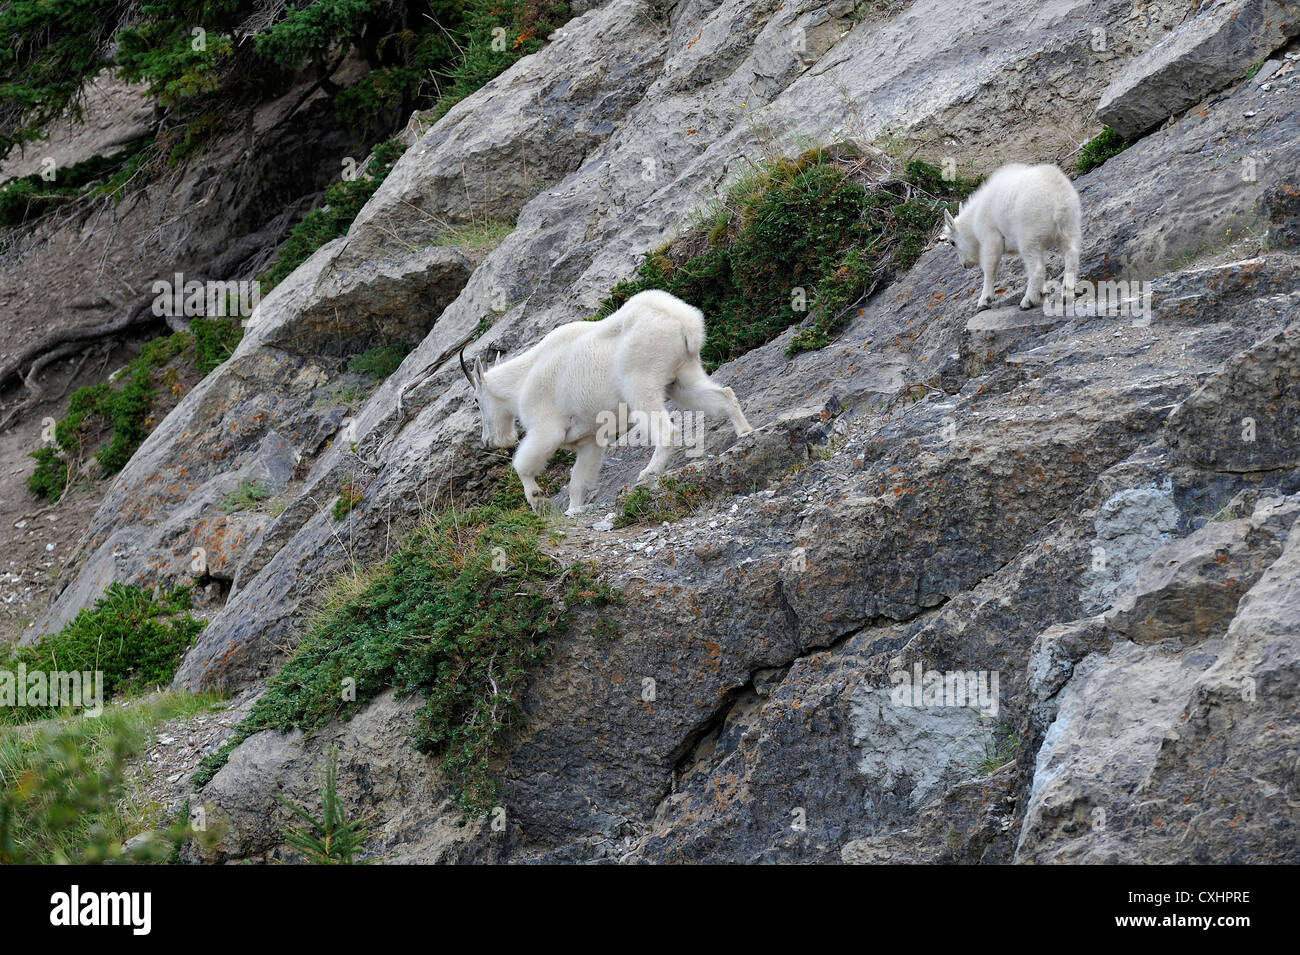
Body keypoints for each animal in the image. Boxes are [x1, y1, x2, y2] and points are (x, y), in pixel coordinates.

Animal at [461, 290, 753, 514]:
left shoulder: (547, 428)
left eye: (476, 400)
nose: (488, 441)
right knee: (723, 394)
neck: (522, 380)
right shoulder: (589, 440)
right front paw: (573, 510)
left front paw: (536, 500)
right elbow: (578, 482)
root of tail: (685, 322)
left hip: (640, 381)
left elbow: (523, 465)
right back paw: (745, 432)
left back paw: (648, 473)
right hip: (681, 376)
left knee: (666, 430)